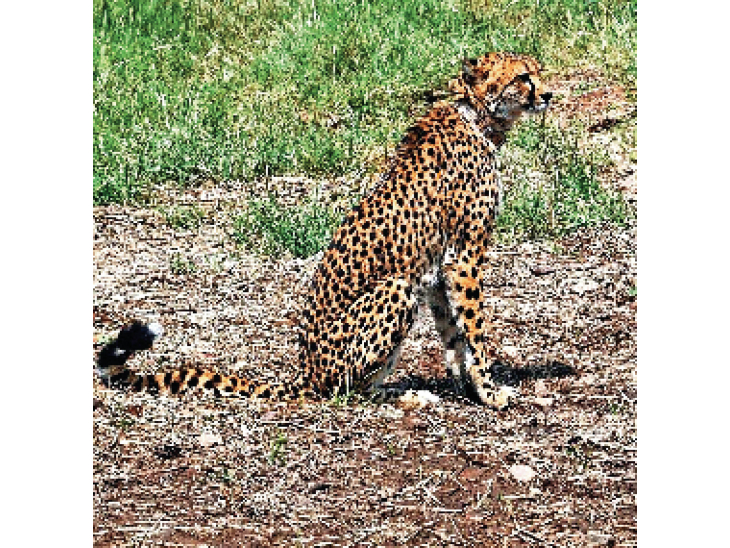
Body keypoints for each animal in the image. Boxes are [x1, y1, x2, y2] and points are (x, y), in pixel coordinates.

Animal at [96, 52, 552, 410]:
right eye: (522, 77)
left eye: (538, 71)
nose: (548, 94)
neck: (479, 119)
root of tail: (306, 371)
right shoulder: (464, 258)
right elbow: (474, 330)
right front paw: (490, 392)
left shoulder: (440, 268)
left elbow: (454, 335)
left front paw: (468, 388)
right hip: (395, 288)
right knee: (344, 391)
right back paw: (404, 395)